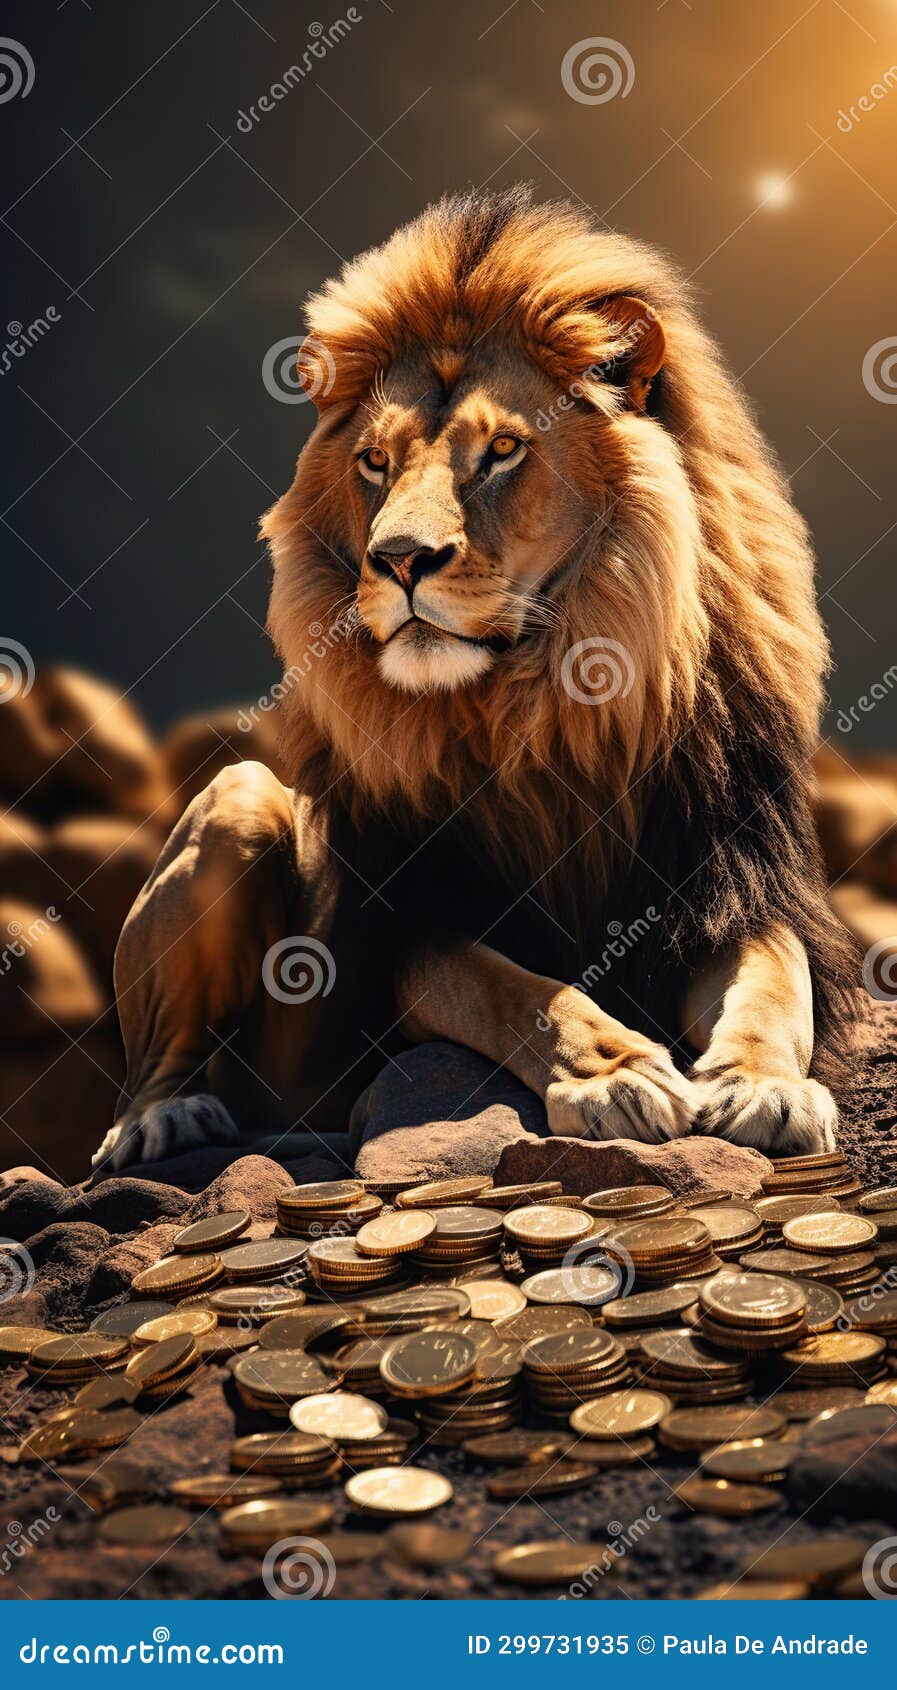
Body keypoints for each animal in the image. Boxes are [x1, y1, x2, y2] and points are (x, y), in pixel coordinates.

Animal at [94, 186, 858, 1177]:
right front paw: (615, 1074)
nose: (398, 558)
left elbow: (774, 983)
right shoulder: (422, 921)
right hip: (241, 799)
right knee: (158, 1061)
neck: (547, 704)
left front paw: (762, 1086)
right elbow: (517, 991)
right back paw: (165, 1119)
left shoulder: (732, 872)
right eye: (375, 462)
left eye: (499, 449)